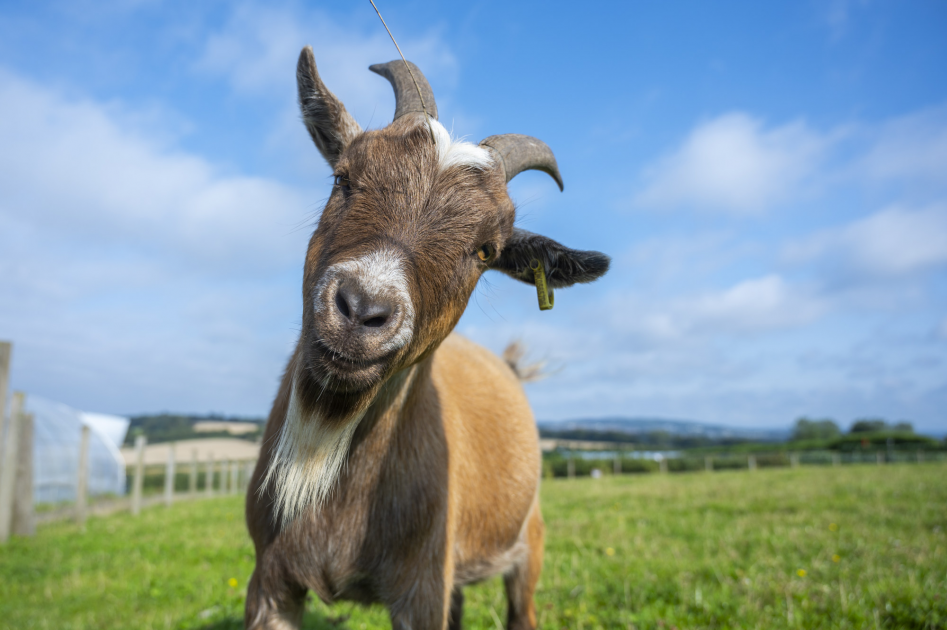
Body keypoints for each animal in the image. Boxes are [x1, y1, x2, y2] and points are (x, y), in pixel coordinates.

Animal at [244, 47, 610, 630]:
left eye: (486, 250)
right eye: (342, 178)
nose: (362, 308)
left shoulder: (421, 587)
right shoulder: (270, 583)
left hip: (528, 539)